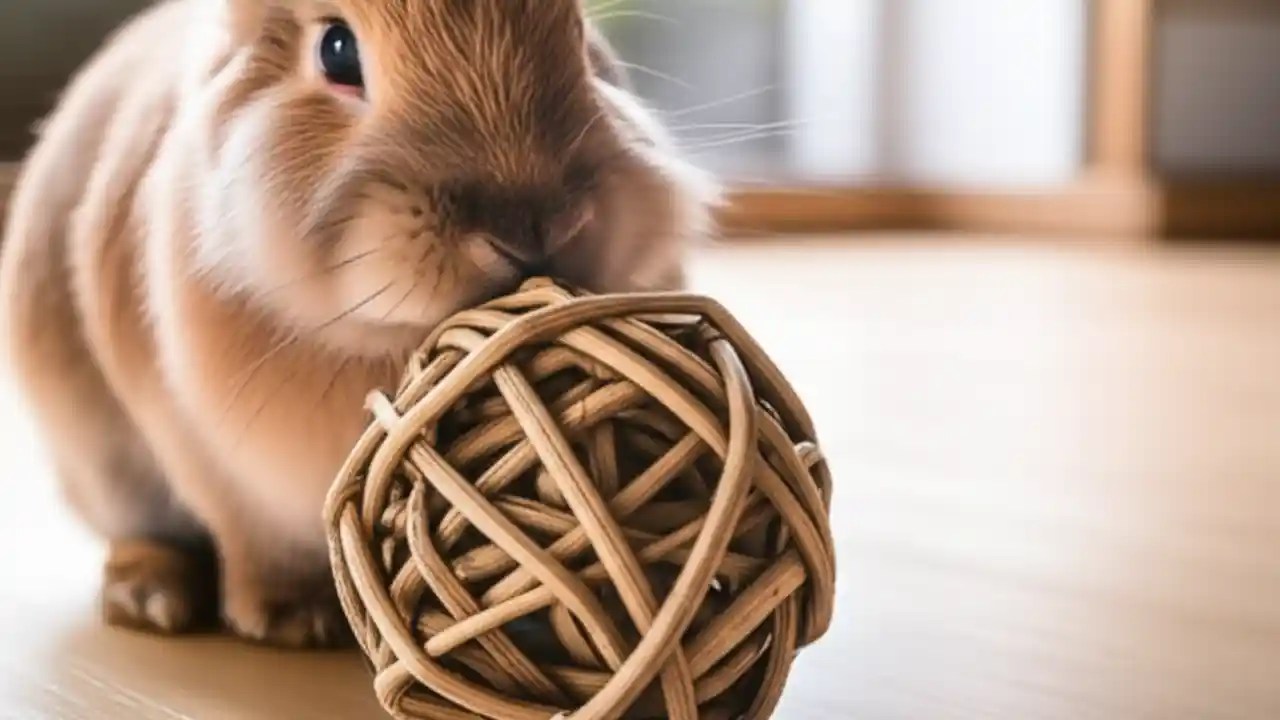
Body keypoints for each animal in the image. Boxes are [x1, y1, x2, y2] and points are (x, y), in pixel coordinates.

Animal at [0, 0, 716, 648]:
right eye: (337, 51)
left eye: (576, 33)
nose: (534, 227)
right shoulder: (215, 465)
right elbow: (256, 540)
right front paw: (293, 620)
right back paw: (152, 599)